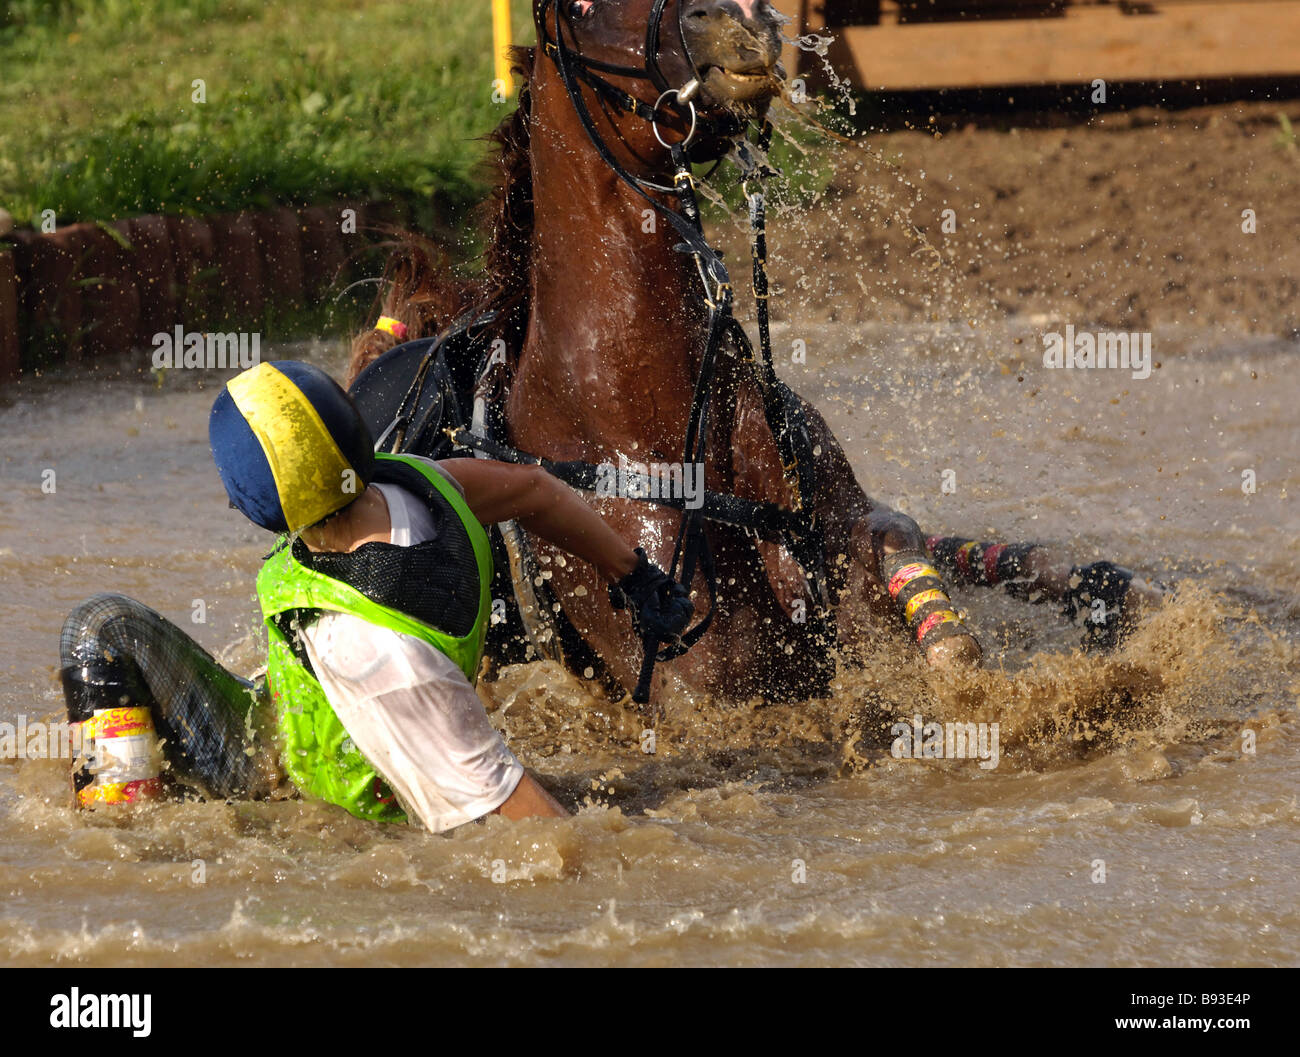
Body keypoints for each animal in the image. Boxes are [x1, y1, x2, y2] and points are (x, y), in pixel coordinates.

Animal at [346, 0, 1162, 711]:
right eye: (577, 7)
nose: (738, 18)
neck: (644, 413)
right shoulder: (708, 677)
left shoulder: (846, 528)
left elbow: (901, 554)